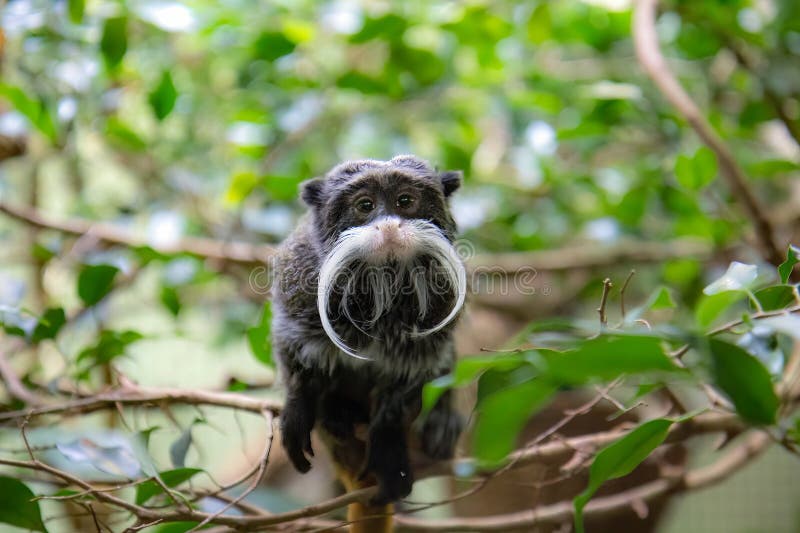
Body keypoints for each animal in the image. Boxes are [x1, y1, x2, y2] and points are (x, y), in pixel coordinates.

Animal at [271, 155, 466, 522]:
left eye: (404, 201)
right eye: (365, 206)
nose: (388, 226)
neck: (382, 282)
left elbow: (413, 374)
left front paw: (388, 445)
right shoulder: (299, 289)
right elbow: (296, 349)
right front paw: (298, 409)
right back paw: (338, 414)